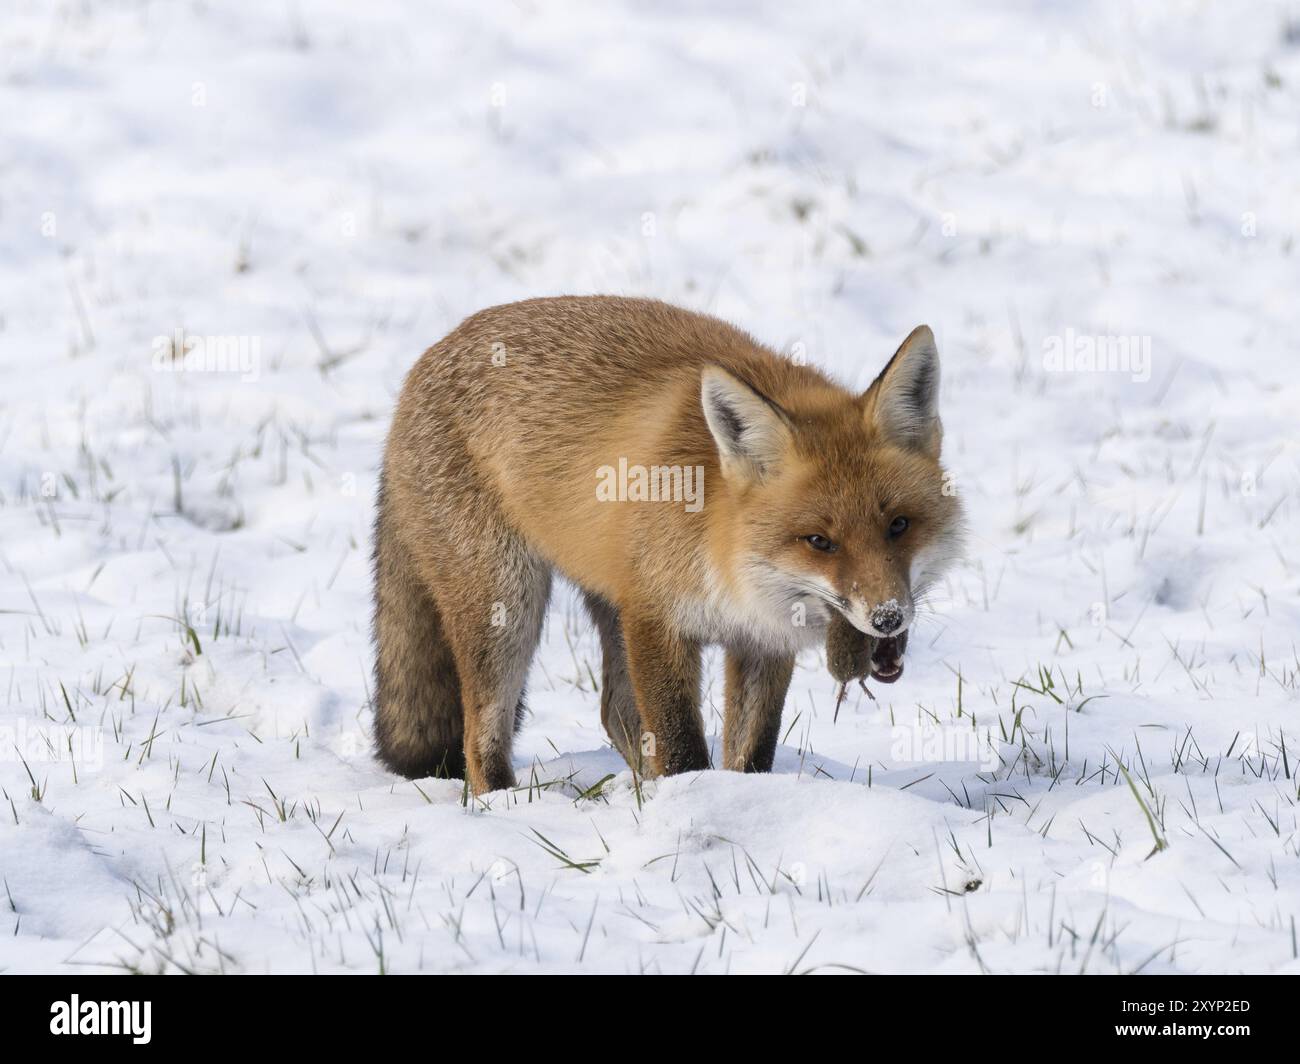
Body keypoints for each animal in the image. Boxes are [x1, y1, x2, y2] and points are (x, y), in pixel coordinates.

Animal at [372, 296, 964, 794]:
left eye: (899, 526)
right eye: (819, 541)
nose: (888, 617)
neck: (722, 548)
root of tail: (426, 358)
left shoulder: (761, 639)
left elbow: (752, 751)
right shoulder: (656, 619)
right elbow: (681, 745)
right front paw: (695, 802)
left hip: (602, 598)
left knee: (616, 712)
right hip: (506, 607)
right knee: (480, 736)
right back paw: (503, 802)